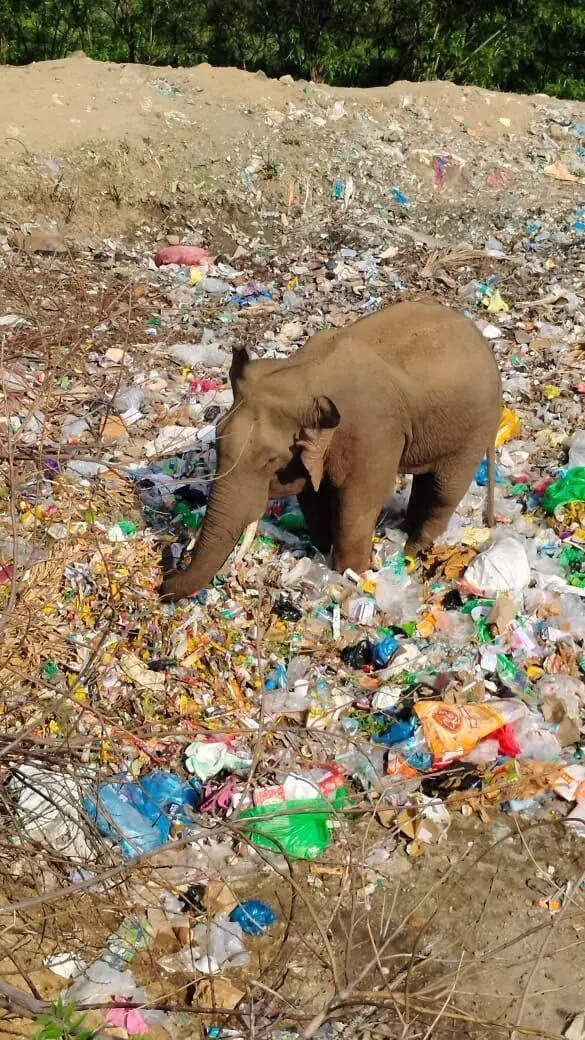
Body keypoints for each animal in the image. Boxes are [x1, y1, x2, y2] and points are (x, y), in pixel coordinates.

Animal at [160, 300, 502, 601]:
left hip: (474, 429)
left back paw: (411, 553)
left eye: (270, 460)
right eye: (216, 439)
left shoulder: (373, 435)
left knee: (442, 490)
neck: (302, 375)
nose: (166, 576)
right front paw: (322, 552)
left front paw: (348, 575)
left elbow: (357, 505)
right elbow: (313, 498)